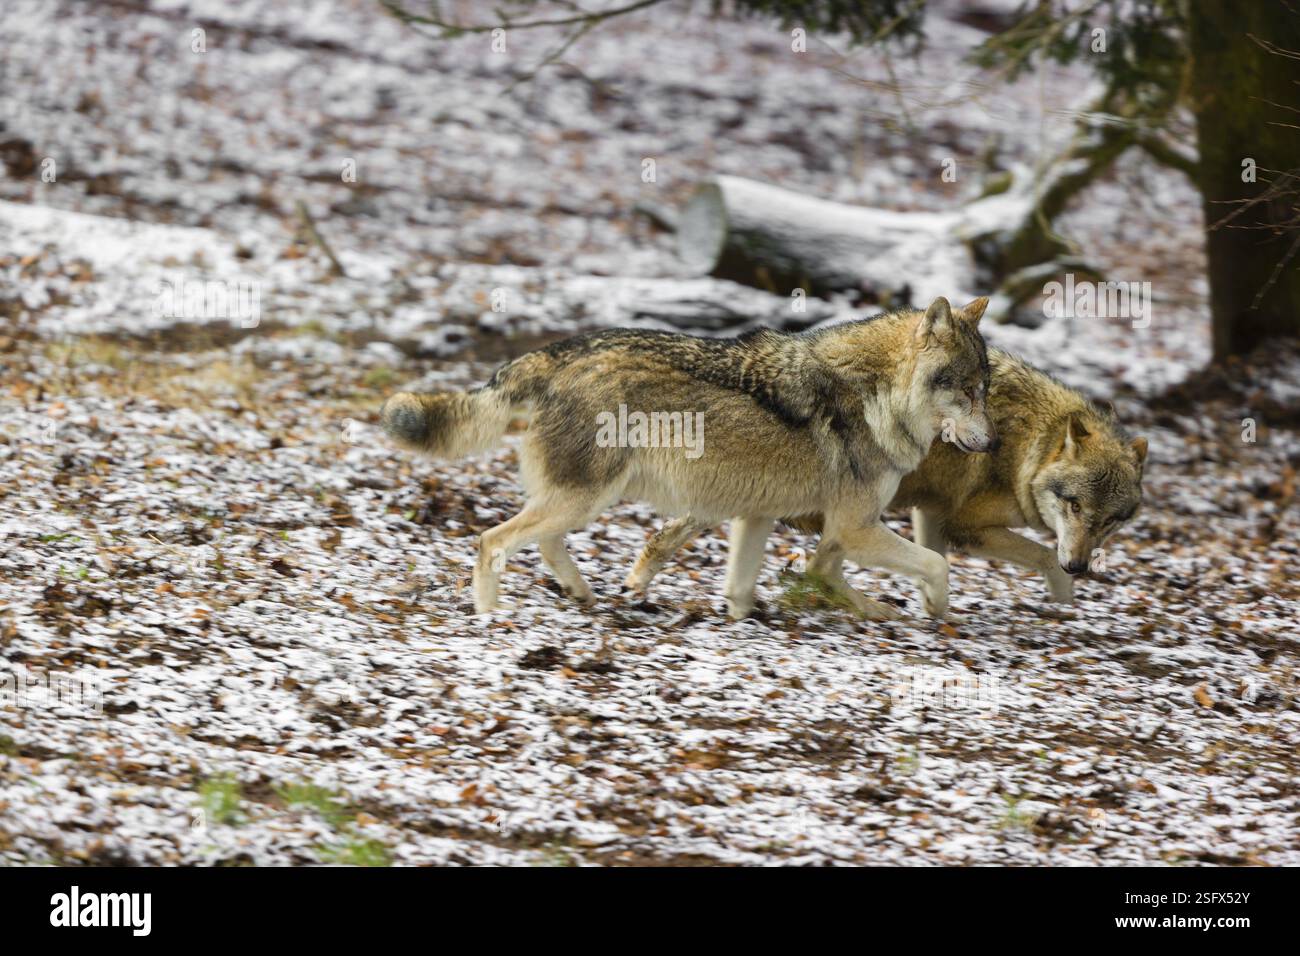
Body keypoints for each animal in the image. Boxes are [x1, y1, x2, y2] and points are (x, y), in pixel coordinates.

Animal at [380, 296, 995, 617]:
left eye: (986, 390)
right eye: (967, 391)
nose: (991, 443)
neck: (875, 395)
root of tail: (557, 351)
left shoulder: (757, 516)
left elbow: (740, 588)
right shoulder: (856, 527)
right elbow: (937, 564)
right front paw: (934, 609)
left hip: (584, 501)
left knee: (544, 542)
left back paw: (581, 593)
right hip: (587, 498)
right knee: (492, 541)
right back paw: (489, 616)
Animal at [627, 348, 1148, 614]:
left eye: (1109, 522)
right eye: (1075, 506)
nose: (1080, 565)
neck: (1028, 444)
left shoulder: (931, 512)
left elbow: (934, 564)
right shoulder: (965, 526)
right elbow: (1041, 556)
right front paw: (1063, 600)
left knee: (668, 536)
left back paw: (638, 582)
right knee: (819, 565)